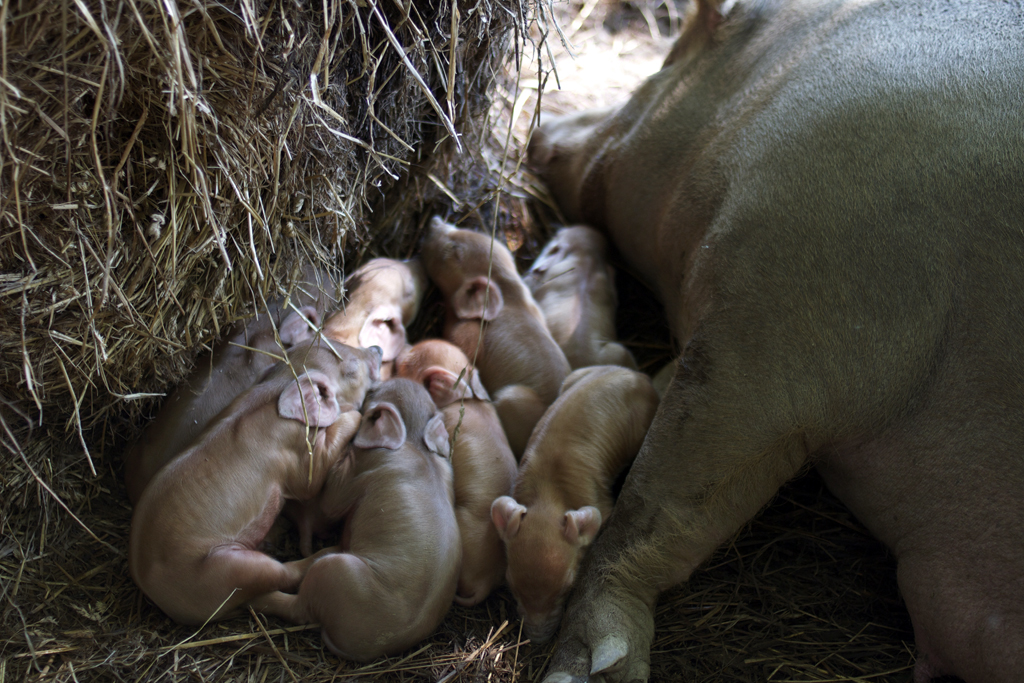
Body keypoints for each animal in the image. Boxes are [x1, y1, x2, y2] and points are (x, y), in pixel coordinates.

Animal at [128, 339, 381, 625]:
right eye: (352, 369)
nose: (377, 349)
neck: (279, 386)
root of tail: (152, 589)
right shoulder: (301, 461)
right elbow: (312, 481)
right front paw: (355, 414)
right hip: (229, 569)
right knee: (283, 573)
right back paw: (333, 549)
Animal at [255, 379, 460, 661]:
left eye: (373, 393)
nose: (374, 383)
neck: (416, 445)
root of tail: (357, 647)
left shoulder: (370, 463)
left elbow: (332, 502)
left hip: (335, 574)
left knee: (299, 609)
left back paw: (257, 599)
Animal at [491, 365, 659, 643]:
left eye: (567, 587)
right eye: (511, 584)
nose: (538, 638)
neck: (549, 494)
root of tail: (640, 376)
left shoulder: (601, 502)